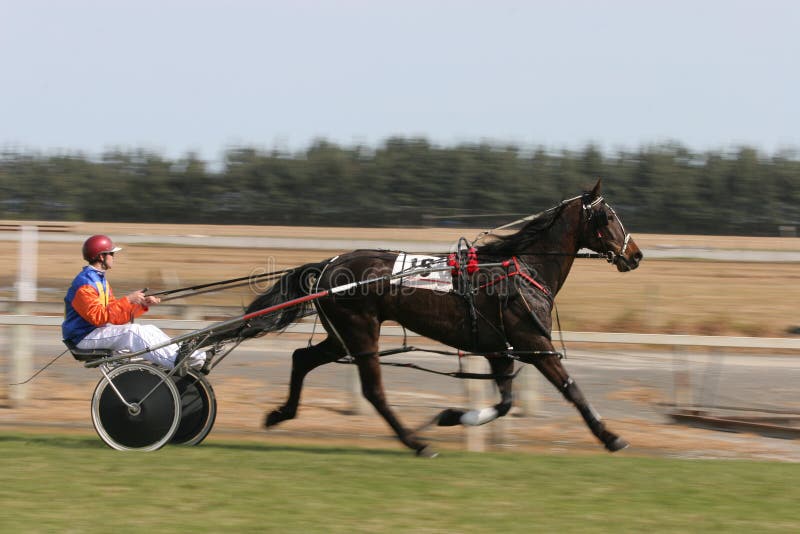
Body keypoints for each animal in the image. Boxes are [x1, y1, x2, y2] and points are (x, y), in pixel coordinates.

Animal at [234, 180, 643, 456]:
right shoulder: (531, 340)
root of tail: (330, 265)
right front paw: (611, 437)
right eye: (608, 216)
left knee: (302, 358)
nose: (635, 255)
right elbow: (571, 388)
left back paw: (280, 414)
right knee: (373, 391)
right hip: (360, 330)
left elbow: (506, 401)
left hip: (341, 335)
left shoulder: (498, 348)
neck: (520, 269)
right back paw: (416, 443)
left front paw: (451, 416)